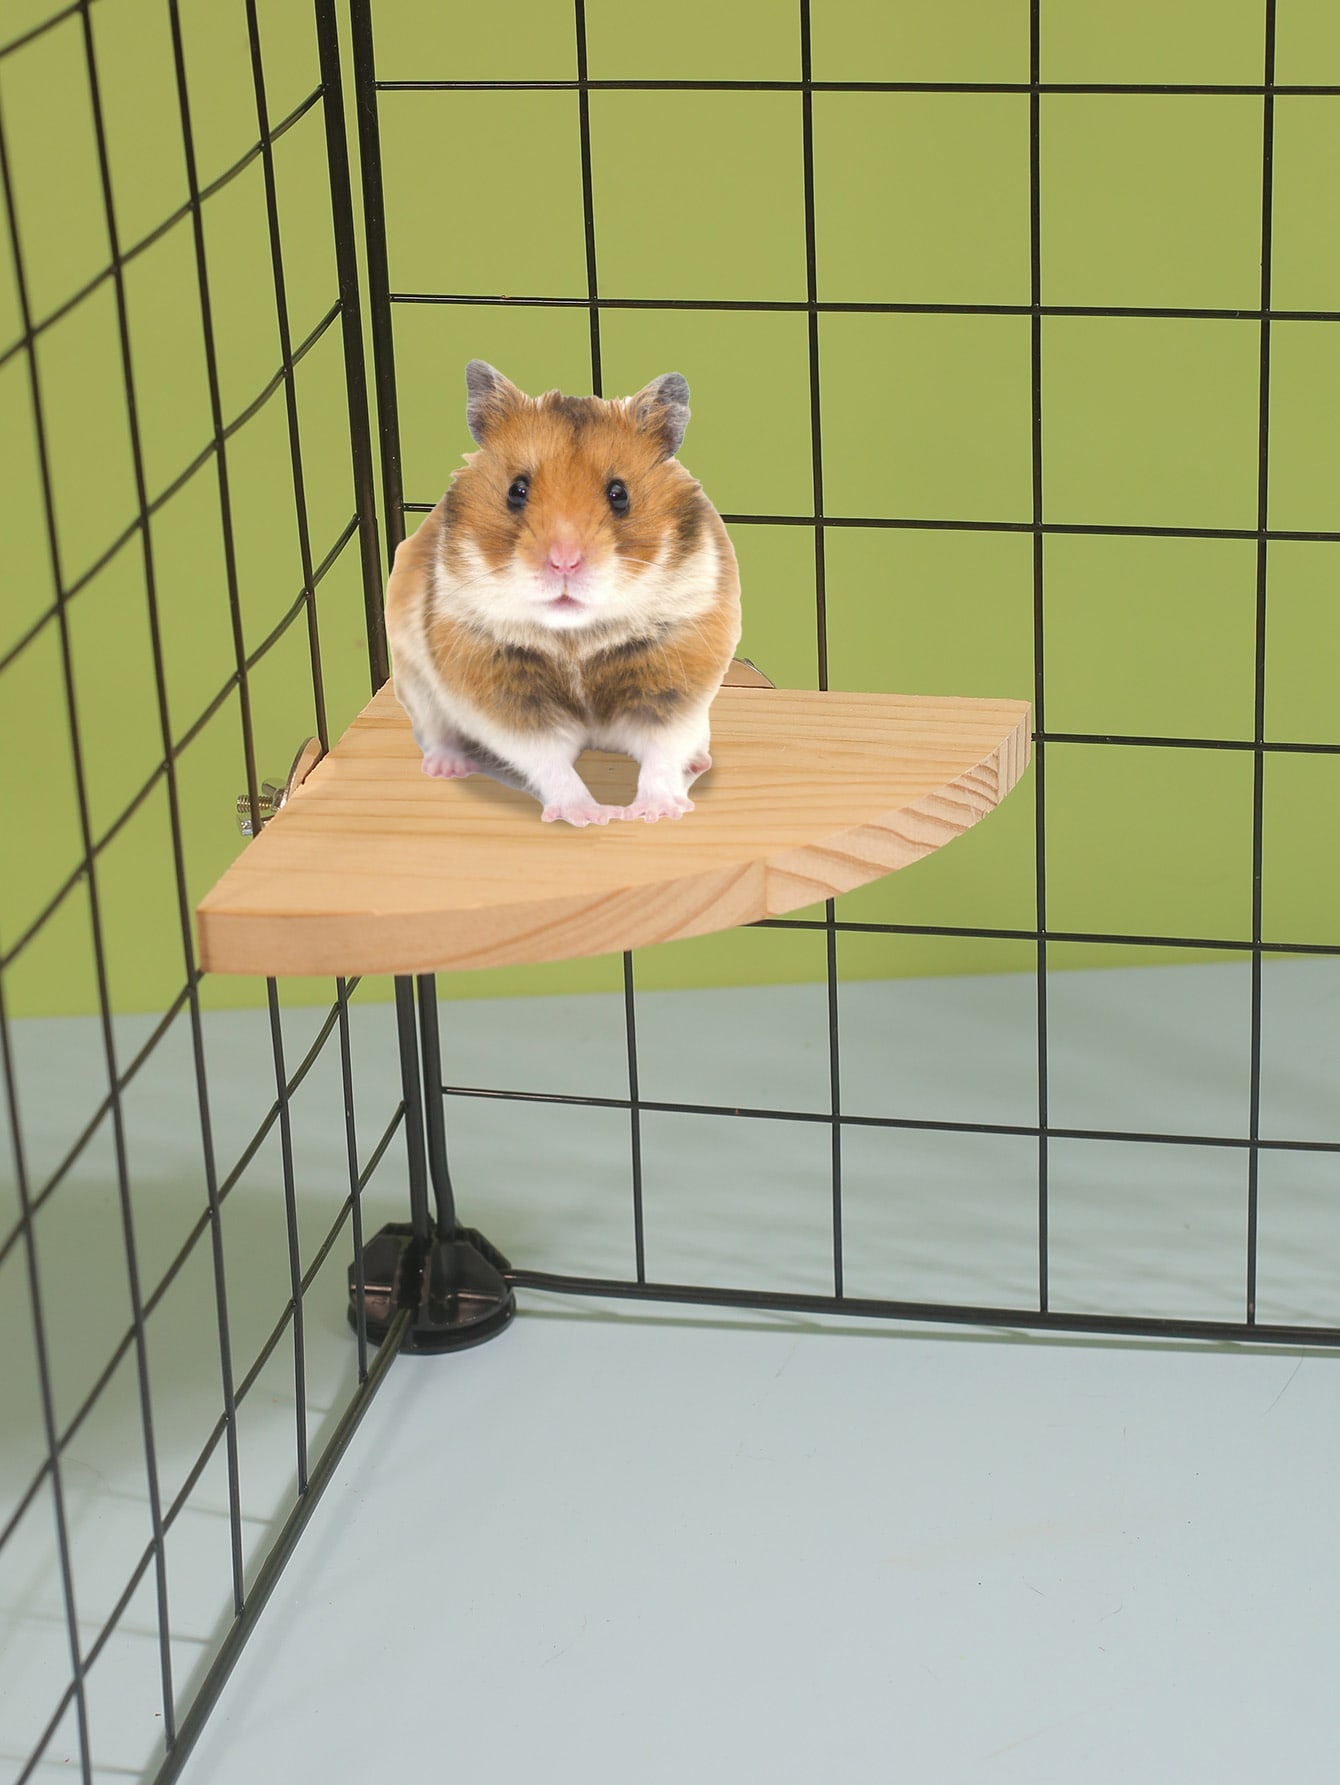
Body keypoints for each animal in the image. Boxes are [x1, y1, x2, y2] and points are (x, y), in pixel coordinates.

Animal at [384, 360, 742, 826]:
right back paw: (447, 767)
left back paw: (699, 761)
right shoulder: (503, 694)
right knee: (436, 731)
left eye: (619, 494)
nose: (564, 563)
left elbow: (662, 753)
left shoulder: (675, 683)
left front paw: (656, 813)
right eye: (516, 490)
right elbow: (549, 761)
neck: (577, 638)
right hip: (414, 680)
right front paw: (592, 816)